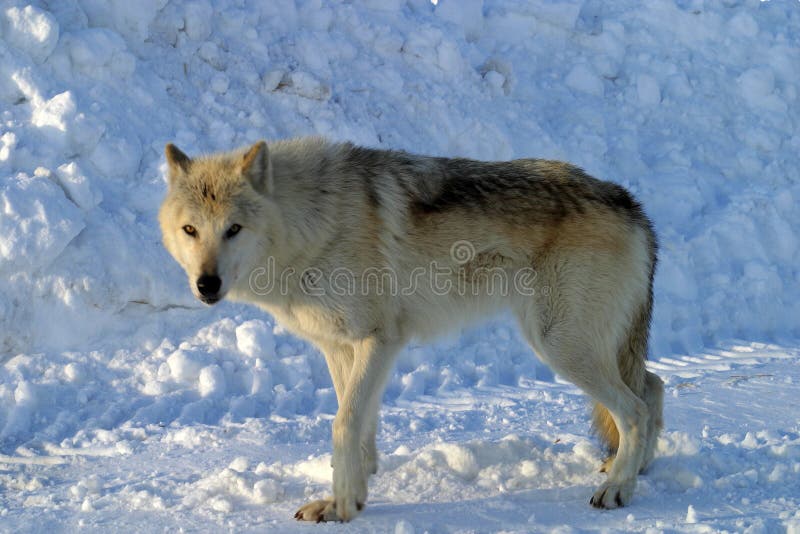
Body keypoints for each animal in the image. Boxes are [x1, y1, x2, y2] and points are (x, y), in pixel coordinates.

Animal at [159, 137, 664, 522]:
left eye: (233, 229)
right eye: (191, 230)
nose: (206, 284)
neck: (311, 223)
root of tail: (632, 204)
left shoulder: (379, 341)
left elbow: (344, 422)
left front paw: (341, 507)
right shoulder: (340, 347)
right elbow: (358, 424)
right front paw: (357, 489)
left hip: (559, 345)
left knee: (635, 409)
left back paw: (618, 489)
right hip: (584, 345)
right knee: (654, 385)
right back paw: (635, 468)